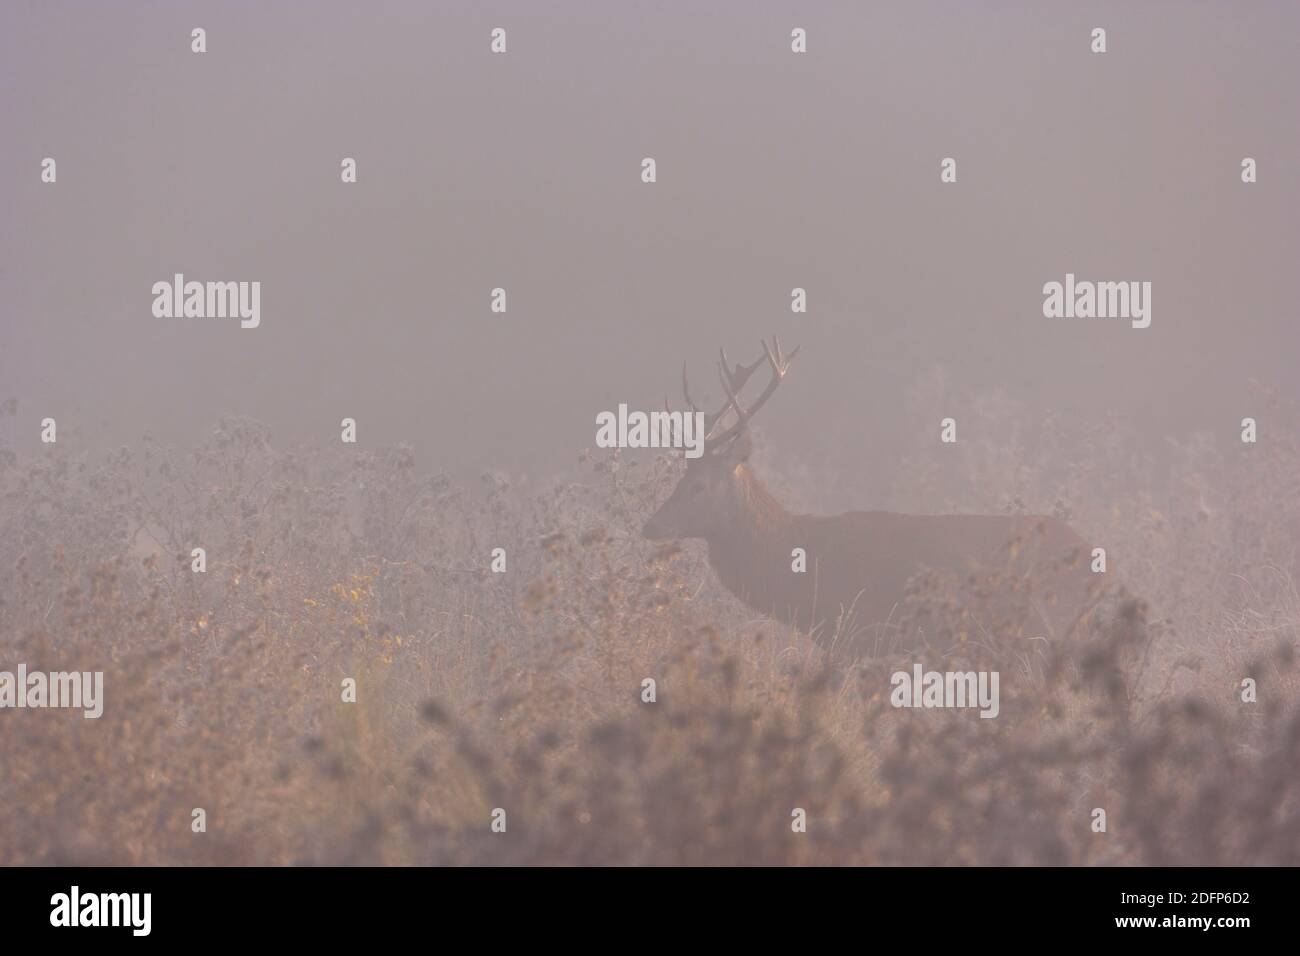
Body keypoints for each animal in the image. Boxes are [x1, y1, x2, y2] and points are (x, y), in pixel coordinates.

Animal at [642, 337, 1113, 657]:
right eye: (681, 478)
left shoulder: (859, 636)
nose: (651, 525)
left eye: (700, 485)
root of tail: (1098, 564)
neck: (806, 570)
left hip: (1042, 633)